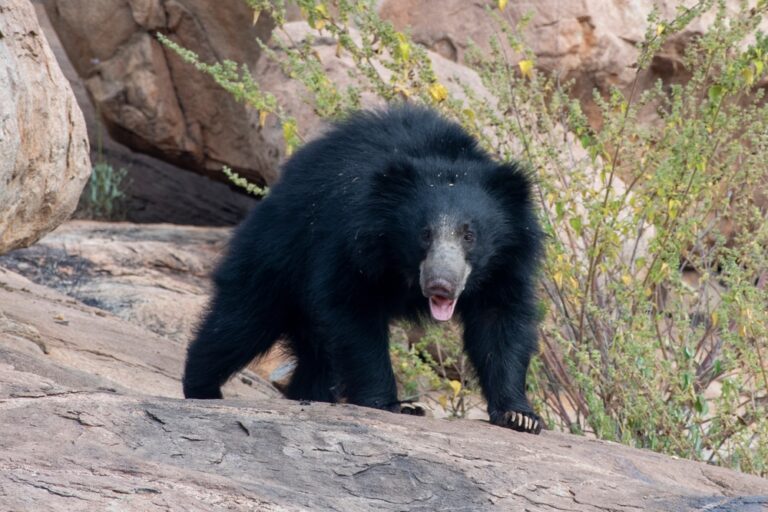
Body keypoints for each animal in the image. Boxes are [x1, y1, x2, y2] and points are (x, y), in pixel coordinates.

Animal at [183, 105, 544, 434]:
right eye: (424, 234)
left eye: (470, 235)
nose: (441, 285)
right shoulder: (351, 242)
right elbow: (354, 313)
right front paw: (393, 405)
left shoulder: (508, 262)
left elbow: (499, 322)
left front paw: (520, 416)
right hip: (278, 252)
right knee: (241, 321)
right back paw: (202, 388)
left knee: (314, 356)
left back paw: (307, 397)